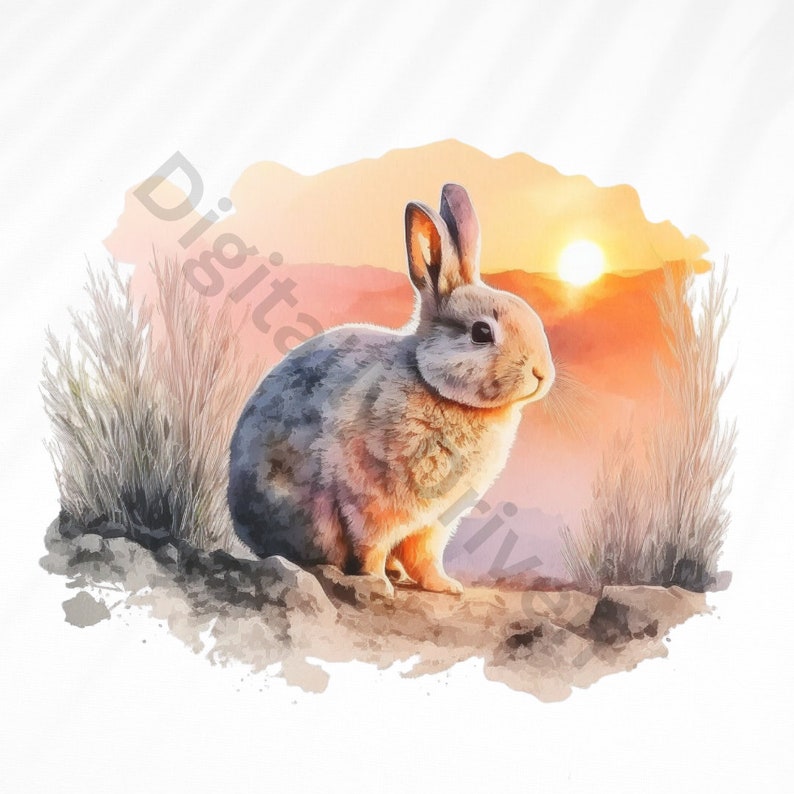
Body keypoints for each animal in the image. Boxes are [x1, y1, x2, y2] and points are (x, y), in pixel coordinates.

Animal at [228, 183, 555, 596]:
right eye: (482, 332)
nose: (541, 373)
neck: (435, 386)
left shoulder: (433, 522)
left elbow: (425, 557)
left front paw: (446, 586)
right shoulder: (371, 507)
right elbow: (372, 547)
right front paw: (379, 585)